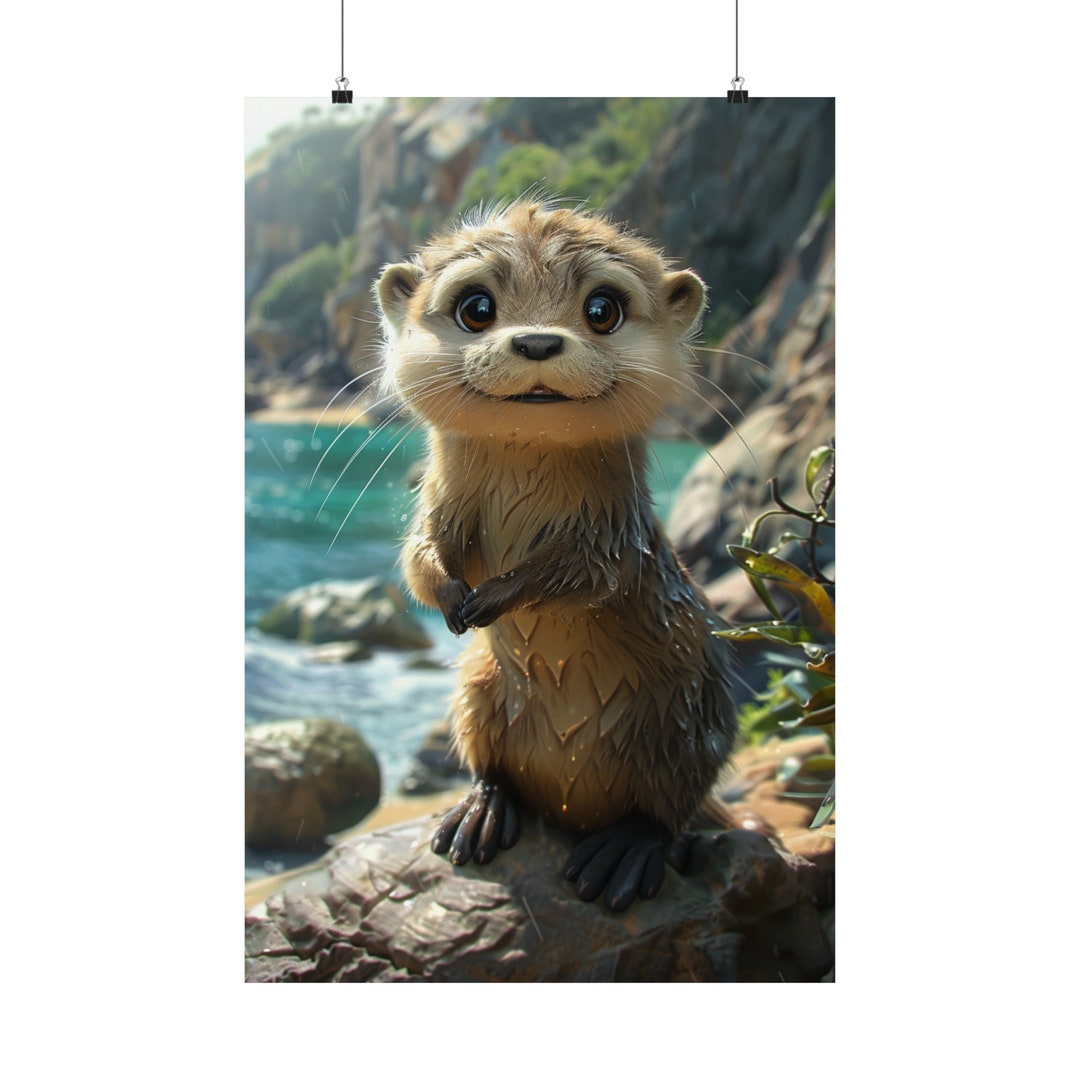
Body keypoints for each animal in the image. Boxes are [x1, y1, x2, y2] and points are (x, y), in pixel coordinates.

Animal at [375, 199, 736, 910]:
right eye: (476, 307)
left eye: (603, 309)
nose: (538, 341)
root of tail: (573, 806)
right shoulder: (437, 508)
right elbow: (417, 560)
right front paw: (453, 597)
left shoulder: (614, 532)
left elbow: (587, 575)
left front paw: (495, 597)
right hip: (478, 690)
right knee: (491, 765)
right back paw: (480, 813)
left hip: (690, 719)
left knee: (669, 808)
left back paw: (627, 853)